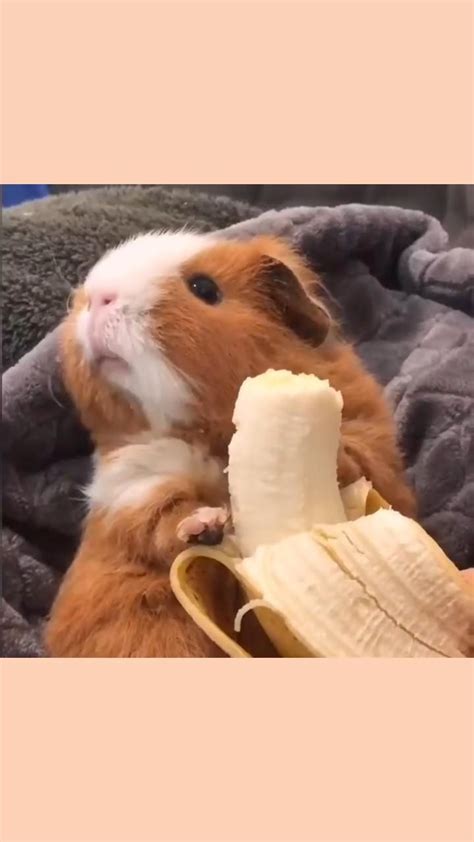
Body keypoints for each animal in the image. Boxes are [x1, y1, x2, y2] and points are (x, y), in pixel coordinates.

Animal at [45, 231, 416, 657]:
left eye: (205, 288)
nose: (98, 296)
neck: (207, 435)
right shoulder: (133, 488)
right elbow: (163, 519)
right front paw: (207, 524)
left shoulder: (373, 442)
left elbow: (359, 461)